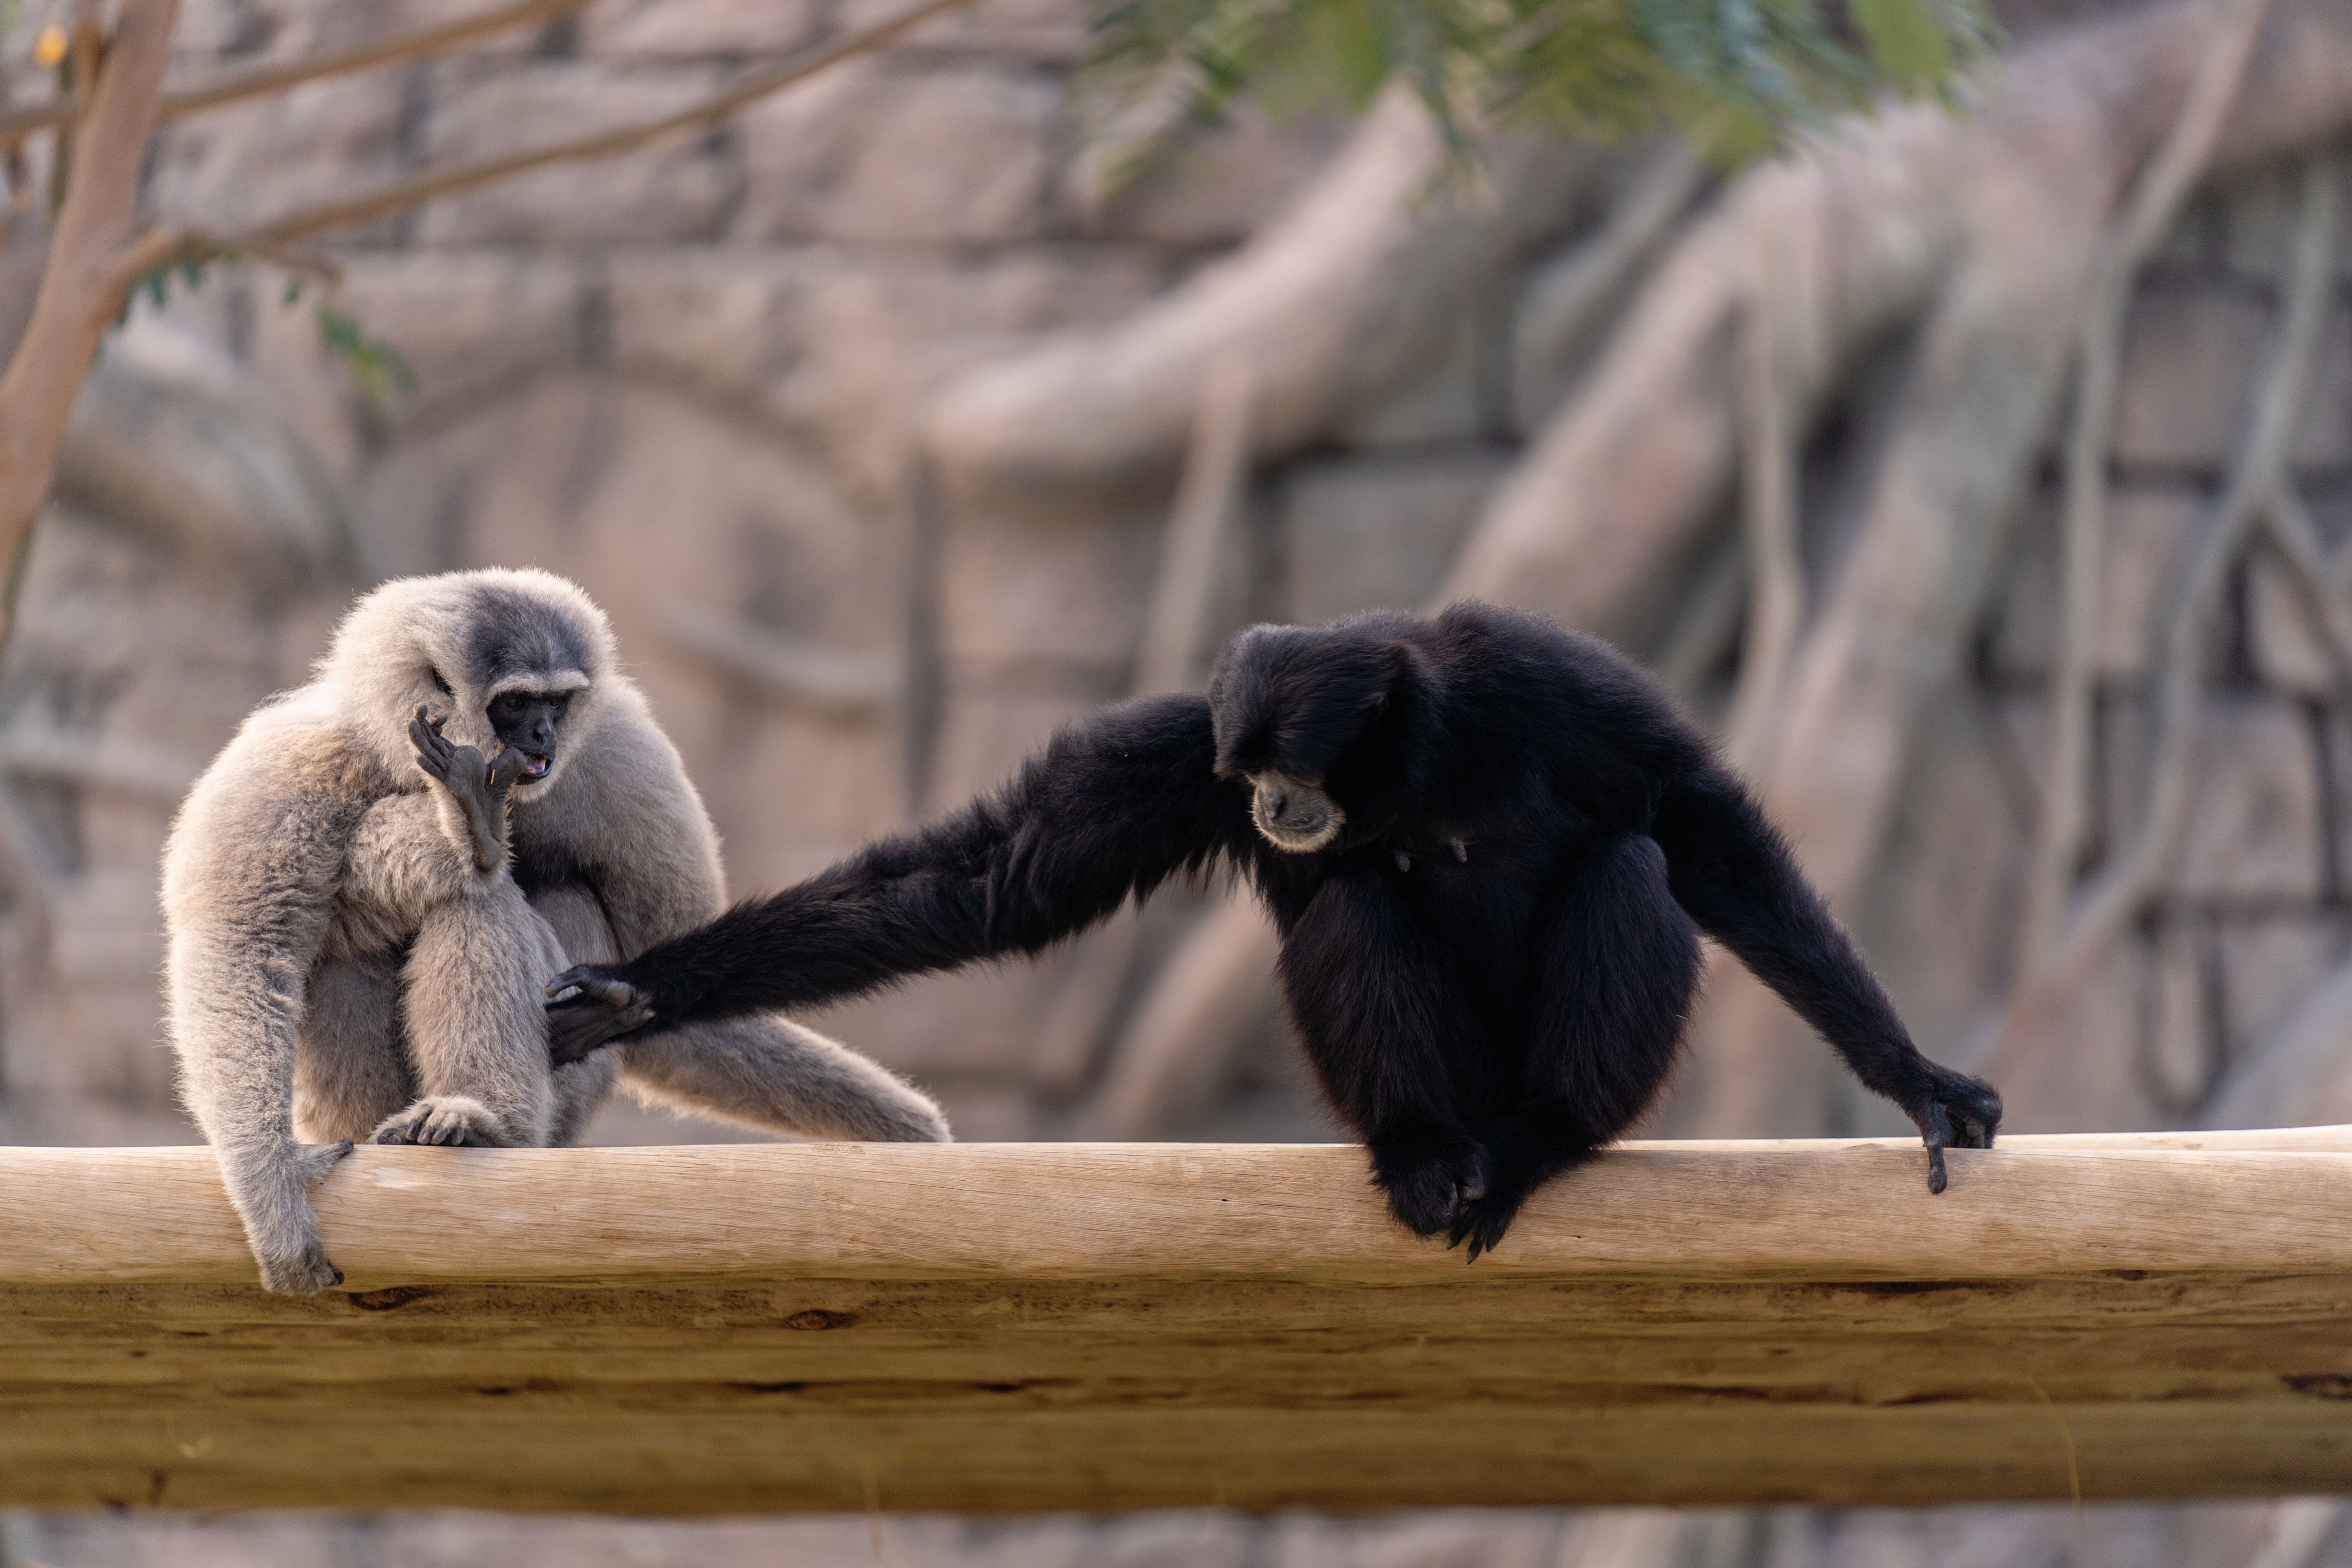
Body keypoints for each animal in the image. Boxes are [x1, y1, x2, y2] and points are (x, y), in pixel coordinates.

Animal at [163, 568, 950, 1295]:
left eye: (556, 703)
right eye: (516, 703)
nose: (542, 736)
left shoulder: (628, 760)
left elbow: (676, 995)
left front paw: (911, 1136)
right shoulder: (292, 759)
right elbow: (243, 946)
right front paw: (271, 1191)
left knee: (515, 899)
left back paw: (482, 1118)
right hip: (346, 1113)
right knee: (408, 915)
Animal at [547, 602, 2001, 1258]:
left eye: (1285, 769)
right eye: (1242, 778)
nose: (1267, 801)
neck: (1419, 771)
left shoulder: (1547, 676)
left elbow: (1698, 826)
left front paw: (1915, 1077)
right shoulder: (1188, 738)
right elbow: (998, 875)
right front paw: (645, 989)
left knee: (1631, 863)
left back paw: (1538, 1137)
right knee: (1356, 902)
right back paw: (1422, 1154)